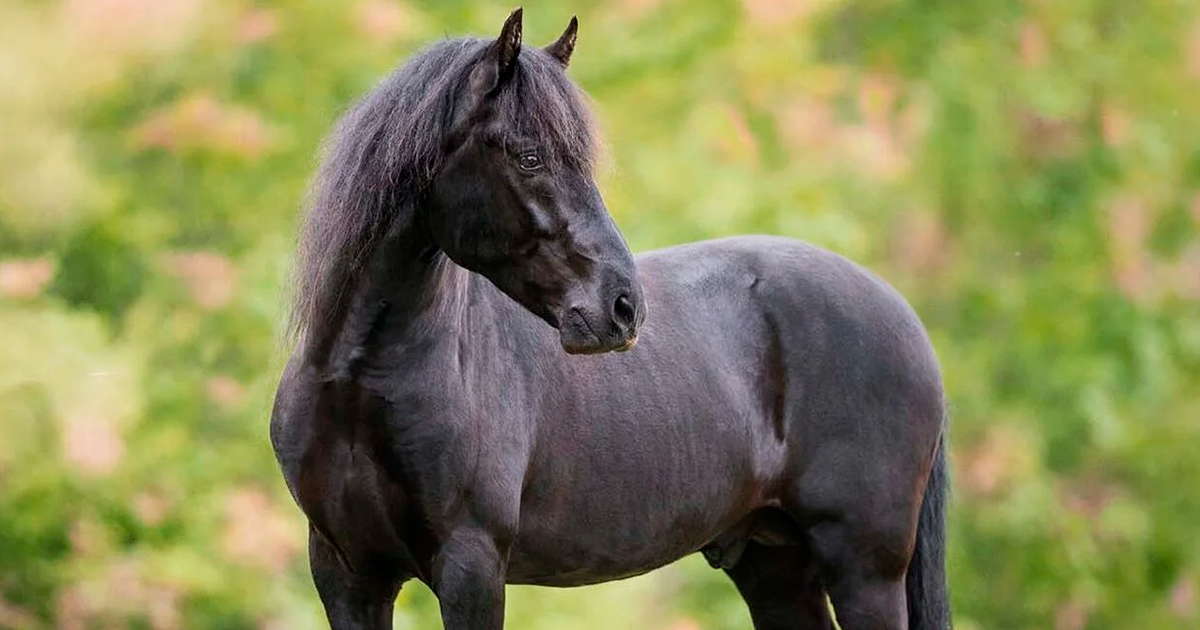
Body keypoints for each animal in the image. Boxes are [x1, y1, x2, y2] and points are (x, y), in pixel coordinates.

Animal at [270, 9, 951, 630]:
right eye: (530, 157)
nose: (623, 306)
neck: (364, 381)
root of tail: (902, 315)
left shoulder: (471, 568)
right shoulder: (348, 576)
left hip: (864, 571)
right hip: (774, 566)